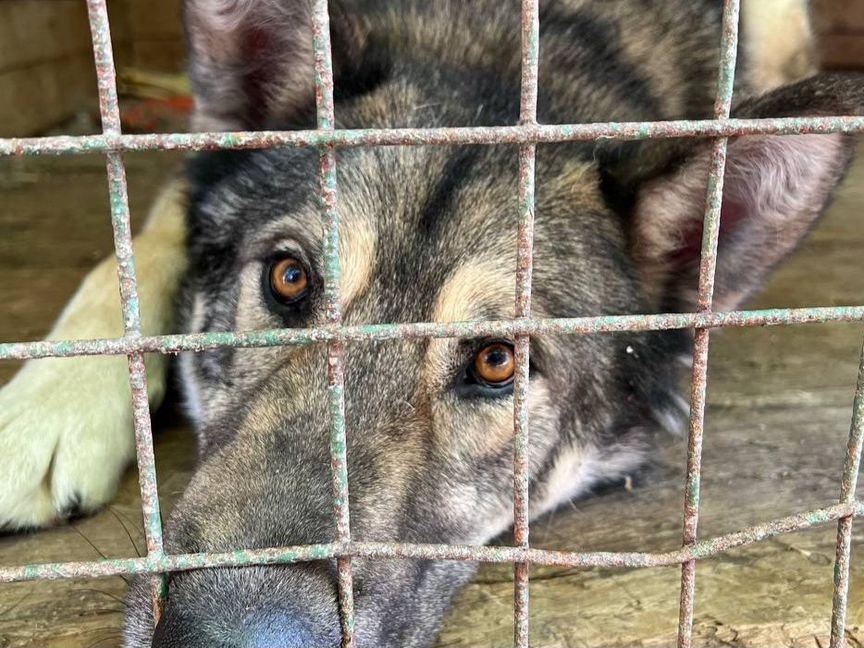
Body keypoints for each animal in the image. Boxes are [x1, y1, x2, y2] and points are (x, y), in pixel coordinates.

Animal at [1, 0, 862, 646]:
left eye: (496, 361)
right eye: (288, 278)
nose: (229, 638)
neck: (506, 52)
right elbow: (133, 245)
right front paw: (47, 408)